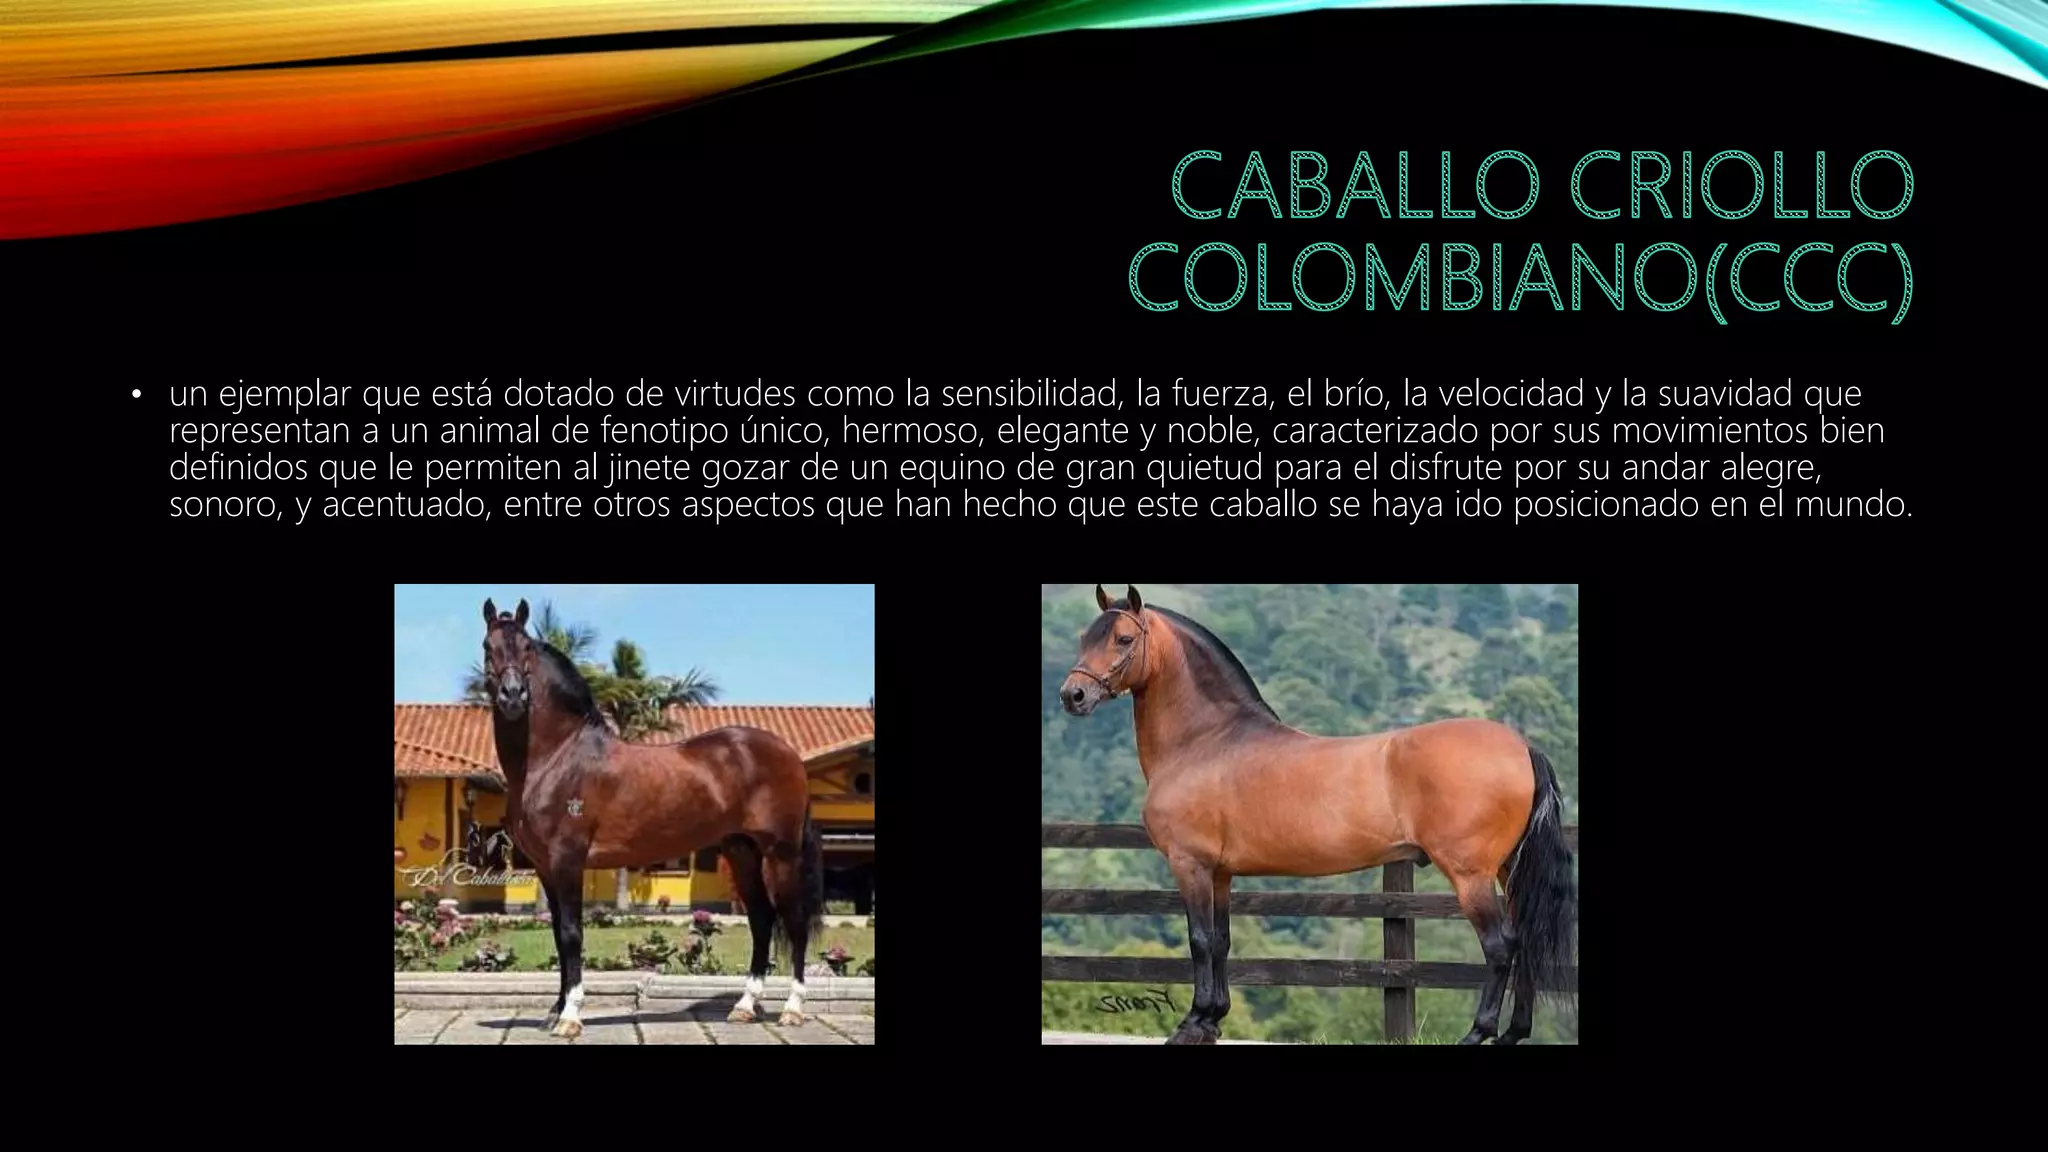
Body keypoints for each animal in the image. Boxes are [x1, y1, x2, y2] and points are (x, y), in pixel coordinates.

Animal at [479, 598, 825, 1038]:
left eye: (525, 648)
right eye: (488, 648)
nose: (512, 696)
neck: (556, 757)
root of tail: (789, 754)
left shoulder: (568, 861)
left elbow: (572, 934)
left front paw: (571, 1016)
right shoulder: (545, 868)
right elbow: (557, 934)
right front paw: (555, 1012)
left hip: (780, 853)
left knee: (794, 921)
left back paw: (792, 1009)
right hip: (742, 851)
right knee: (762, 919)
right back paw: (745, 1006)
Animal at [1058, 585, 1576, 1045]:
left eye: (1124, 639)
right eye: (1085, 636)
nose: (1072, 695)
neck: (1207, 740)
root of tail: (1521, 745)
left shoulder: (1192, 865)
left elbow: (1200, 940)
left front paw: (1192, 1025)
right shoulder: (1220, 873)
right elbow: (1221, 940)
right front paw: (1212, 1021)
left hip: (1470, 876)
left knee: (1500, 947)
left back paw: (1478, 1033)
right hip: (1509, 871)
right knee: (1524, 940)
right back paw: (1513, 1033)